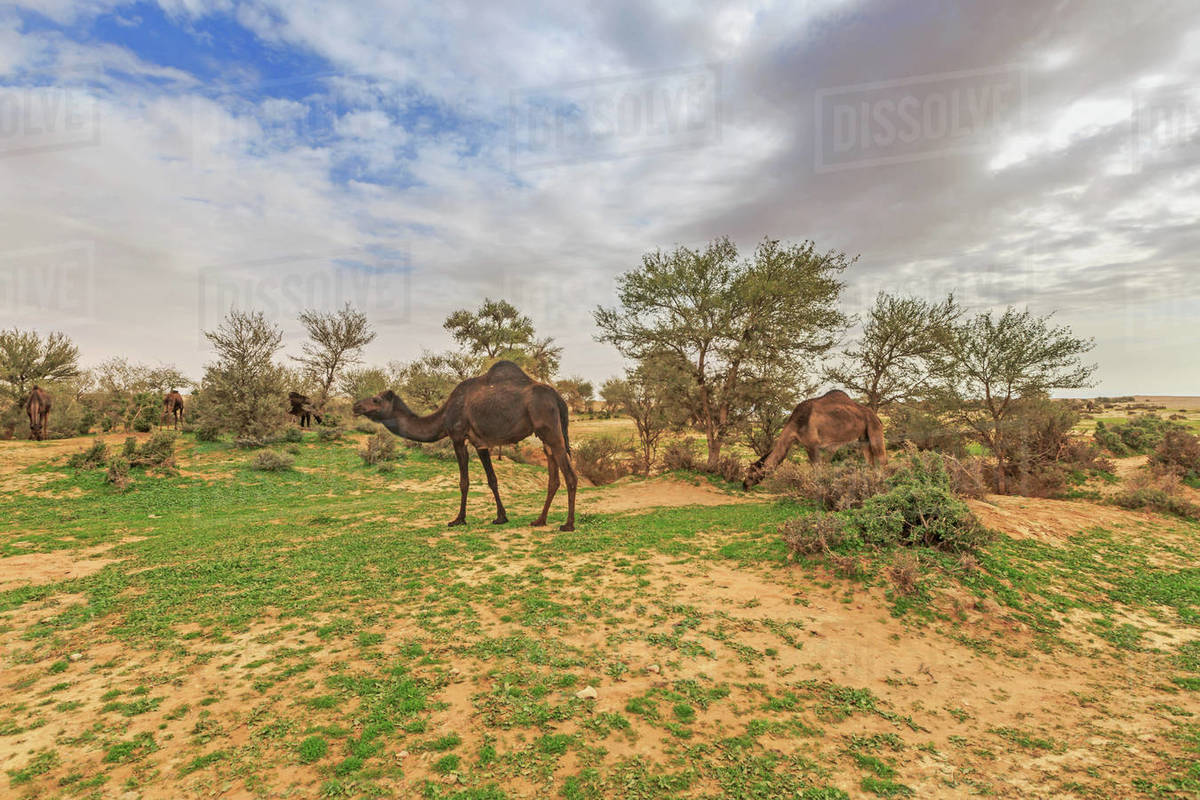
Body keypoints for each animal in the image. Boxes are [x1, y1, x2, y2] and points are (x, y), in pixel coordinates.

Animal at [352, 360, 578, 531]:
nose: (356, 406)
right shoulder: (481, 443)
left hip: (550, 428)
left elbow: (464, 481)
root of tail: (559, 399)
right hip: (545, 435)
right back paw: (539, 520)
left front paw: (458, 519)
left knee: (570, 475)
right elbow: (492, 480)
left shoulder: (458, 436)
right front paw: (501, 517)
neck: (444, 416)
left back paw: (568, 525)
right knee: (553, 477)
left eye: (375, 399)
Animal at [743, 389, 887, 489]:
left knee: (881, 458)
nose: (744, 485)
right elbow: (822, 466)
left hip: (874, 428)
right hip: (863, 436)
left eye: (750, 474)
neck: (796, 424)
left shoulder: (812, 445)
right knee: (870, 460)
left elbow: (816, 468)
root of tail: (877, 417)